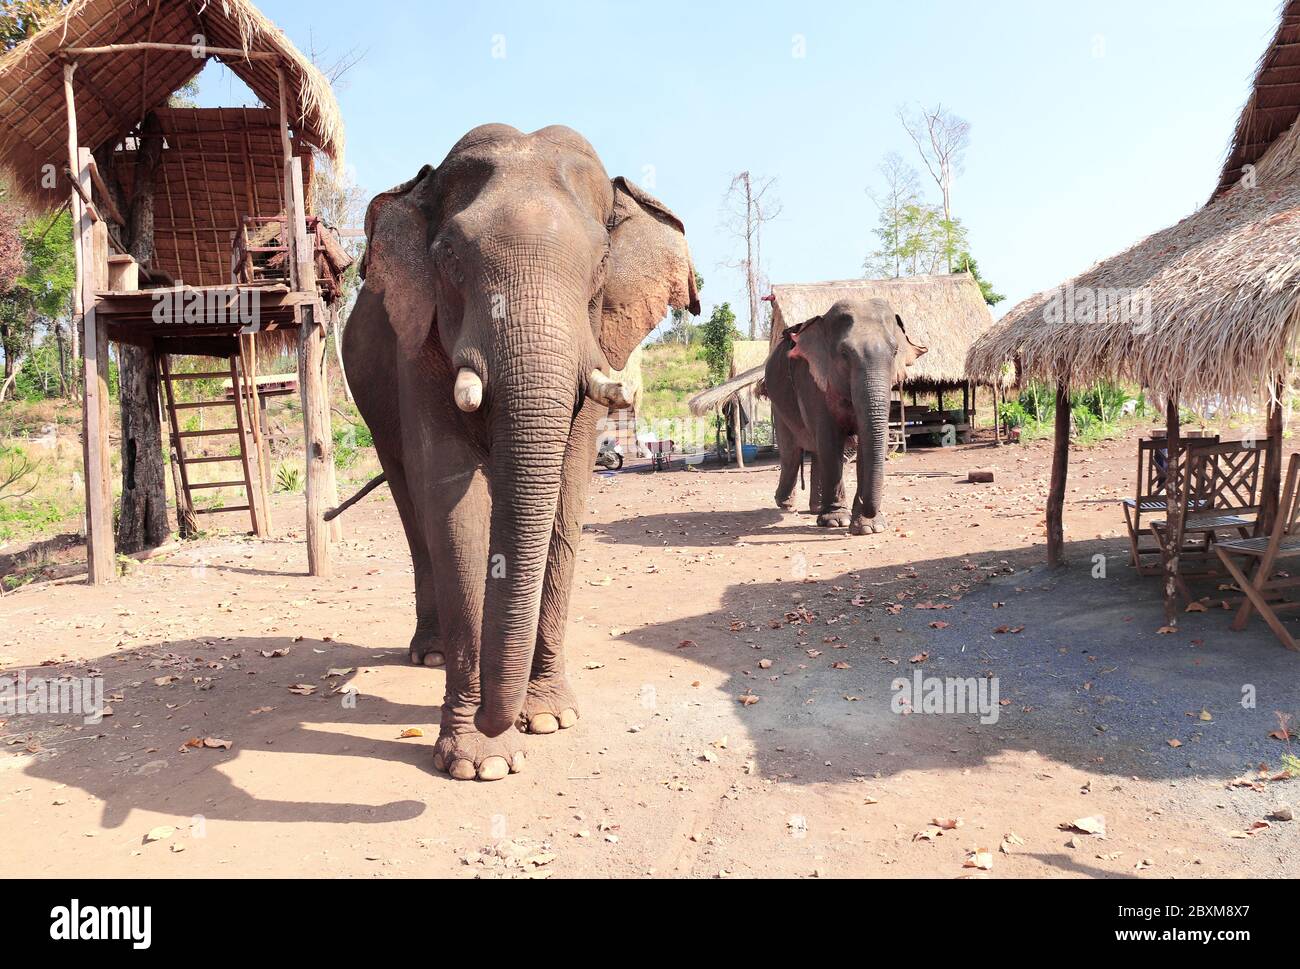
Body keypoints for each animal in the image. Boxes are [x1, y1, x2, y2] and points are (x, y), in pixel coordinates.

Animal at [342, 125, 699, 781]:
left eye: (600, 265)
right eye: (449, 258)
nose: (495, 716)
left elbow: (568, 490)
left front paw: (551, 719)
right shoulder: (417, 345)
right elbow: (453, 500)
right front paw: (481, 764)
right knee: (411, 506)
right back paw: (429, 655)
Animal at [764, 298, 926, 535]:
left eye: (895, 351)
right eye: (844, 354)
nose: (870, 509)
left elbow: (863, 443)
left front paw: (869, 527)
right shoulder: (812, 381)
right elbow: (830, 441)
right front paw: (836, 521)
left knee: (814, 452)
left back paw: (815, 509)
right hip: (778, 404)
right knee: (791, 452)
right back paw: (785, 504)